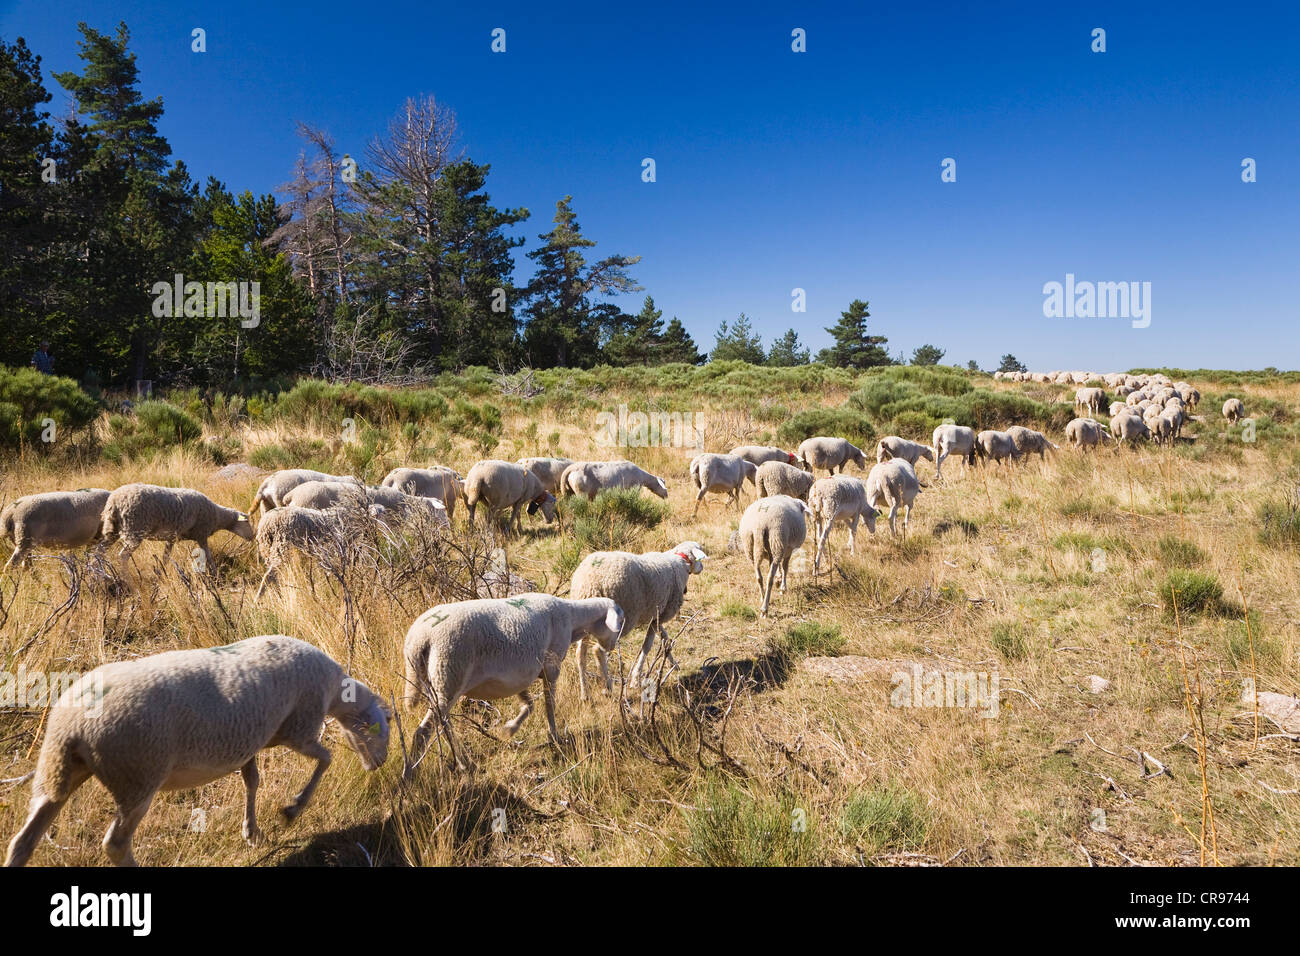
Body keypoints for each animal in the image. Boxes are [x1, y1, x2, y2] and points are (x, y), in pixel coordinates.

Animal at [4, 635, 390, 867]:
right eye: (384, 729)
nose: (380, 764)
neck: (337, 693)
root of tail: (72, 724)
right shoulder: (299, 729)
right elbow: (326, 759)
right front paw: (292, 808)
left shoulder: (248, 738)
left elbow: (252, 781)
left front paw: (251, 832)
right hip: (139, 775)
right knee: (115, 843)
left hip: (60, 770)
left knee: (24, 840)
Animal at [99, 483, 254, 570]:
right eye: (247, 522)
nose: (252, 537)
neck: (217, 516)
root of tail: (113, 502)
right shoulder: (201, 534)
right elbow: (208, 557)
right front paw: (214, 573)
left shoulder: (172, 538)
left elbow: (165, 558)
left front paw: (162, 573)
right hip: (133, 531)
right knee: (122, 556)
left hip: (112, 531)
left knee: (99, 552)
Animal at [402, 595, 625, 771]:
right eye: (621, 621)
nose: (612, 647)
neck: (573, 619)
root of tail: (418, 640)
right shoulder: (551, 667)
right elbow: (549, 705)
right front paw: (554, 736)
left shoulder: (520, 675)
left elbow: (529, 704)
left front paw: (509, 728)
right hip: (449, 674)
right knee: (423, 732)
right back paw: (411, 775)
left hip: (436, 683)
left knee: (443, 723)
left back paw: (464, 762)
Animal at [570, 541, 707, 696]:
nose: (702, 568)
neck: (681, 561)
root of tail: (590, 583)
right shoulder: (660, 615)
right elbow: (647, 646)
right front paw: (636, 680)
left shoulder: (657, 617)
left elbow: (664, 637)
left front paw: (673, 663)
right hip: (623, 619)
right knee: (598, 650)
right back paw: (609, 687)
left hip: (585, 618)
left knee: (580, 654)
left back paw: (585, 694)